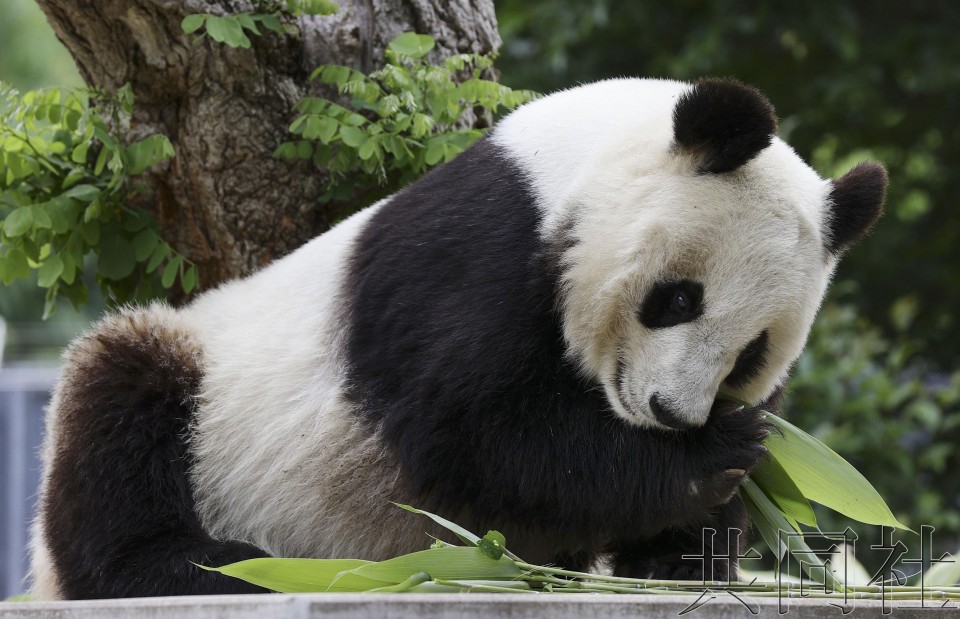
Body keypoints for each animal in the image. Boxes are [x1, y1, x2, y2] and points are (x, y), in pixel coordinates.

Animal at [30, 77, 886, 599]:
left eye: (751, 353)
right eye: (677, 299)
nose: (672, 412)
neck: (576, 158)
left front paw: (680, 550)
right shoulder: (472, 255)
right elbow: (475, 432)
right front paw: (707, 457)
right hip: (199, 380)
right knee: (121, 407)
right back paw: (206, 562)